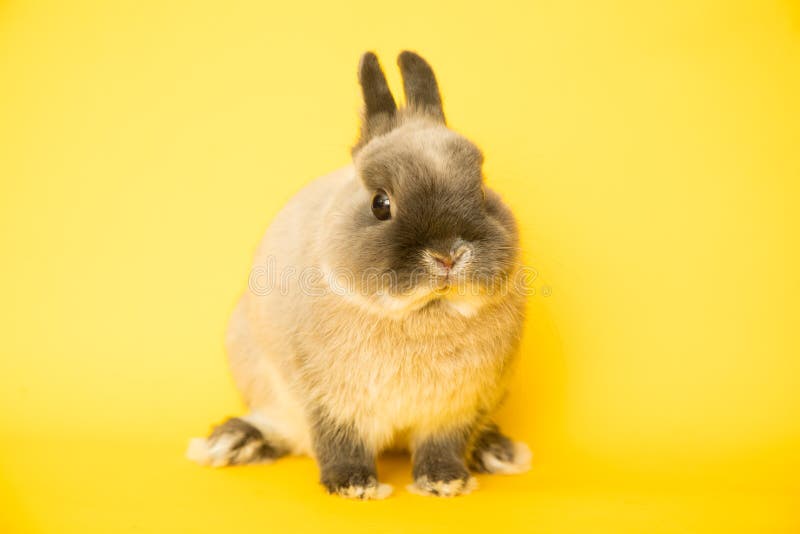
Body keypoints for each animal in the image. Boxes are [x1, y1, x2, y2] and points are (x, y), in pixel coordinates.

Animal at [187, 51, 531, 499]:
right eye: (380, 204)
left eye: (483, 191)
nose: (448, 255)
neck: (423, 313)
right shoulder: (330, 402)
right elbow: (340, 442)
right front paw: (355, 486)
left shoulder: (456, 408)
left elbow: (443, 445)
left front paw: (444, 482)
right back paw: (235, 441)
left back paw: (495, 450)